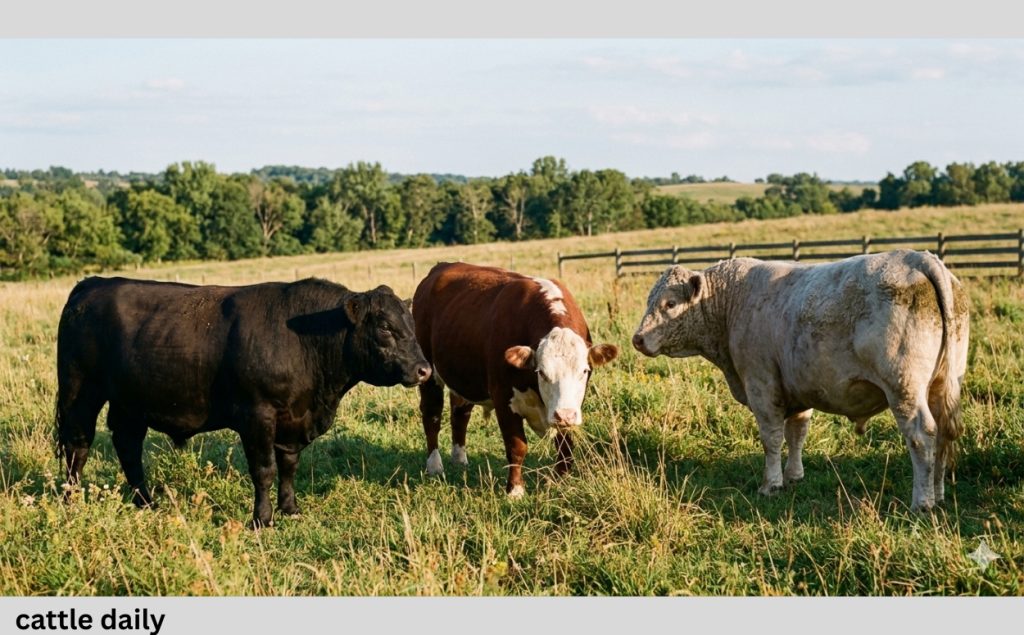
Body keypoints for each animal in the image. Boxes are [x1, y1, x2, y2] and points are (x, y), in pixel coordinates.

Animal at [56, 276, 431, 527]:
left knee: (128, 445)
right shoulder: (257, 416)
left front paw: (290, 509)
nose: (424, 369)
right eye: (385, 327)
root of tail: (94, 283)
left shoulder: (293, 420)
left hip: (130, 402)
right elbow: (263, 469)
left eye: (411, 323)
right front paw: (262, 519)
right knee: (78, 445)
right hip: (80, 391)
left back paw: (146, 502)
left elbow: (288, 466)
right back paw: (71, 501)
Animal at [412, 262, 619, 497]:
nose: (564, 415)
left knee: (460, 415)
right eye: (541, 372)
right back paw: (434, 466)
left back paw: (459, 459)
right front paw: (515, 490)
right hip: (428, 374)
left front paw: (561, 480)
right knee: (432, 416)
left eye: (584, 371)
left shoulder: (568, 405)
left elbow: (565, 444)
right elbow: (516, 446)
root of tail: (443, 266)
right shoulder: (504, 400)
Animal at [632, 250, 969, 512]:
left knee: (921, 435)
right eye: (648, 300)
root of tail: (919, 258)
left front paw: (771, 484)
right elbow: (797, 434)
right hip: (941, 385)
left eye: (670, 304)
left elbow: (771, 439)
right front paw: (794, 476)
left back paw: (922, 502)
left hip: (904, 389)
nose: (637, 339)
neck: (730, 303)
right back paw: (938, 494)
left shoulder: (761, 385)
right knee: (942, 435)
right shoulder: (798, 387)